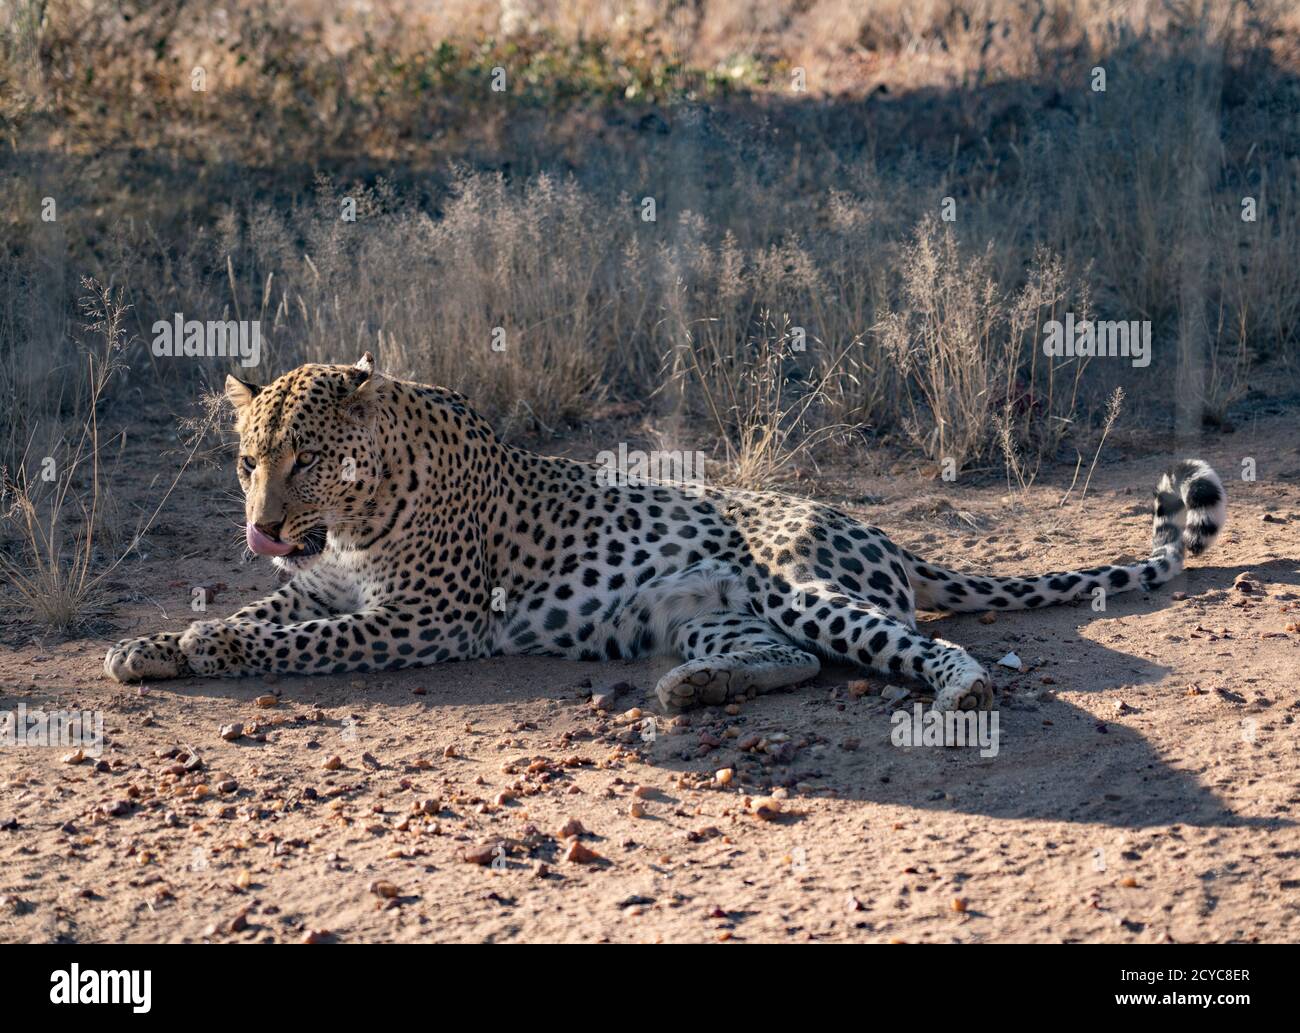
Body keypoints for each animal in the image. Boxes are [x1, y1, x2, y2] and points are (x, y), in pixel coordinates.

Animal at [104, 354, 1227, 713]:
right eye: (247, 460)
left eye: (304, 458)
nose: (259, 525)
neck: (349, 523)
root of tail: (869, 526)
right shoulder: (317, 583)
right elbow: (274, 611)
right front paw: (152, 643)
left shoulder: (421, 620)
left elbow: (299, 638)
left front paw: (211, 644)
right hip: (709, 613)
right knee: (791, 660)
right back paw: (691, 687)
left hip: (804, 586)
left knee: (918, 642)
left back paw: (964, 693)